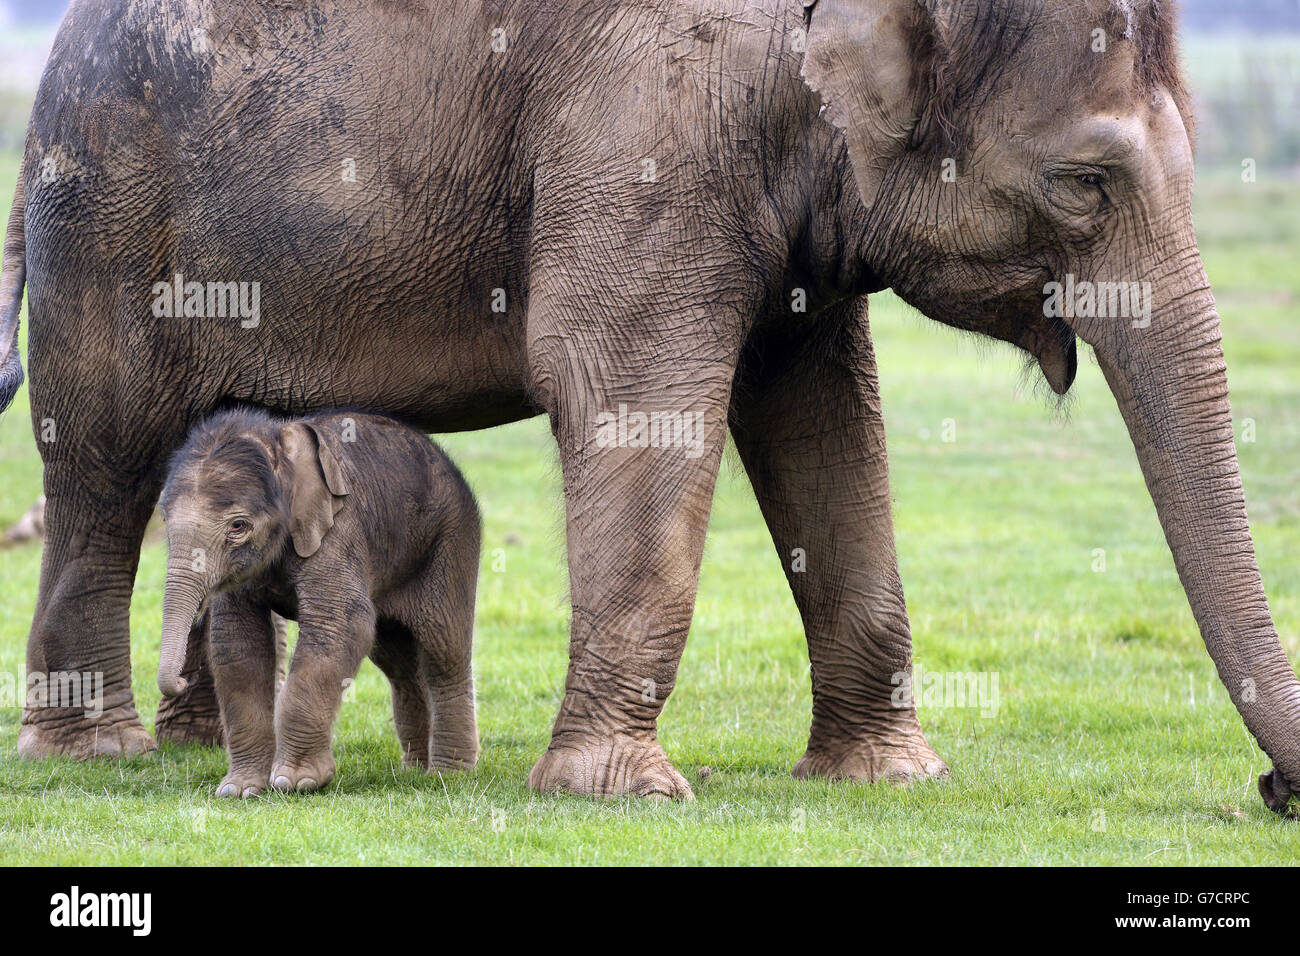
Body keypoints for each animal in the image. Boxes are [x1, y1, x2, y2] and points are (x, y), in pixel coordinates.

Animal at [158, 408, 481, 796]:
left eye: (238, 526)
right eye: (163, 518)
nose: (181, 682)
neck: (279, 442)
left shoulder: (338, 531)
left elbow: (341, 624)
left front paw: (296, 782)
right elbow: (236, 641)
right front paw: (240, 789)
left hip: (450, 541)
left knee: (442, 649)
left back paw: (448, 775)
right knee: (398, 662)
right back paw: (415, 770)